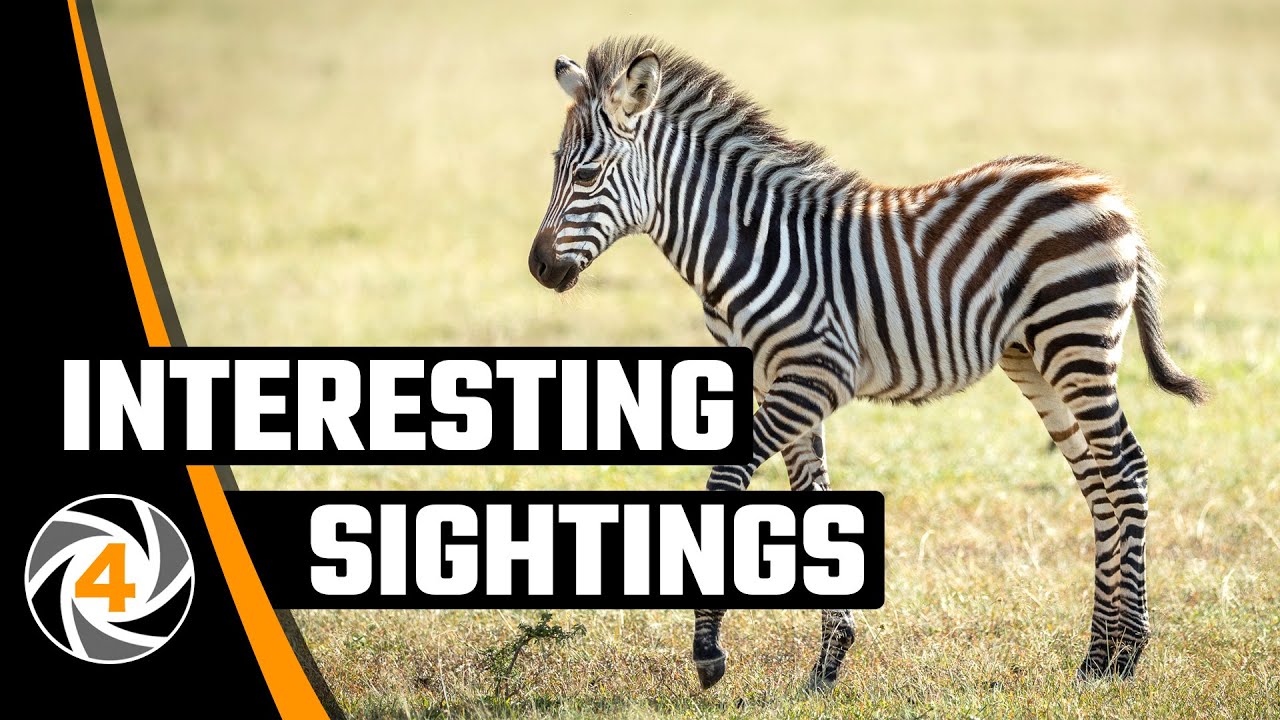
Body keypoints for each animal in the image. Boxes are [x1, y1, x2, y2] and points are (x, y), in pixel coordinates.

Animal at [527, 36, 1207, 692]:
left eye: (587, 174)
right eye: (555, 168)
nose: (537, 267)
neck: (747, 247)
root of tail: (1107, 190)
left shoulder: (815, 376)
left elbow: (724, 481)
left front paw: (709, 651)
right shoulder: (777, 383)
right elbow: (809, 503)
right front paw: (827, 664)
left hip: (1078, 340)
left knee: (1127, 469)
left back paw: (1128, 654)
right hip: (1034, 357)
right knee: (1096, 480)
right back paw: (1096, 658)